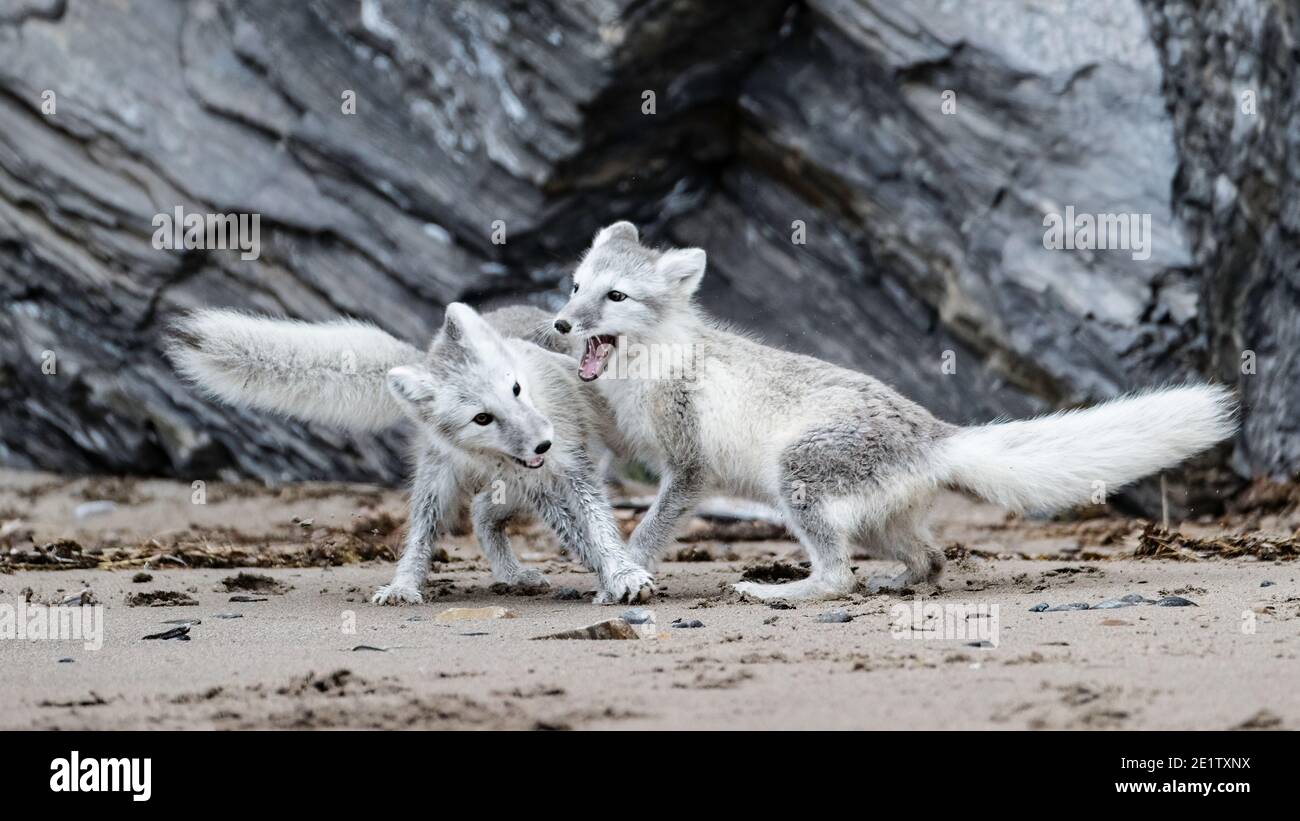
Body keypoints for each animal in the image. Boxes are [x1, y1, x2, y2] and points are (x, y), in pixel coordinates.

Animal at [168, 302, 654, 605]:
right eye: (482, 418)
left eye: (516, 389)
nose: (542, 444)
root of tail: (427, 355)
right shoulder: (541, 484)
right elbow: (582, 533)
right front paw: (617, 577)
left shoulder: (571, 472)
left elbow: (596, 528)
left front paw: (620, 573)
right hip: (439, 482)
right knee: (431, 530)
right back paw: (406, 586)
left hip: (516, 490)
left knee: (482, 512)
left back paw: (514, 575)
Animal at [551, 221, 1239, 601]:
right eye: (576, 286)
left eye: (616, 297)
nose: (560, 323)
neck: (655, 360)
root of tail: (939, 434)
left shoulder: (689, 470)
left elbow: (647, 530)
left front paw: (625, 576)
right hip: (876, 522)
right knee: (931, 561)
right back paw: (893, 584)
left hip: (797, 482)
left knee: (838, 579)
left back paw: (779, 593)